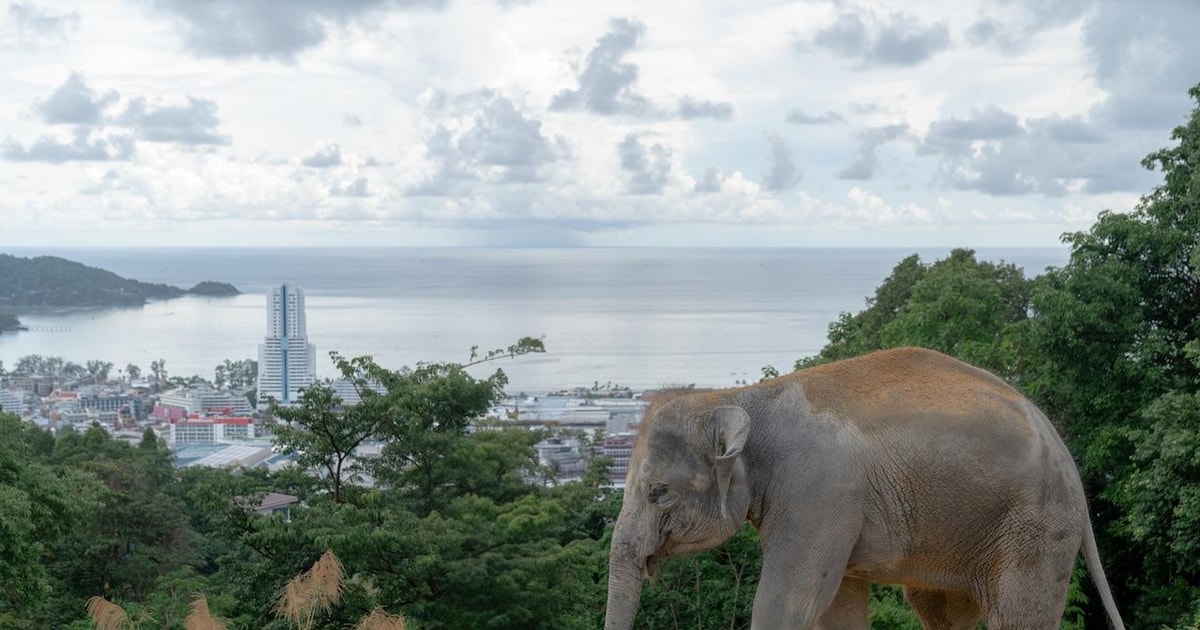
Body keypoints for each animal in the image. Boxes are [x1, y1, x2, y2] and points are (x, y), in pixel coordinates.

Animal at [604, 347, 1125, 629]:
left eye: (657, 492)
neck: (742, 398)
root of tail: (1065, 454)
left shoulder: (817, 493)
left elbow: (787, 603)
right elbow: (837, 604)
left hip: (1034, 527)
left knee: (1017, 617)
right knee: (941, 610)